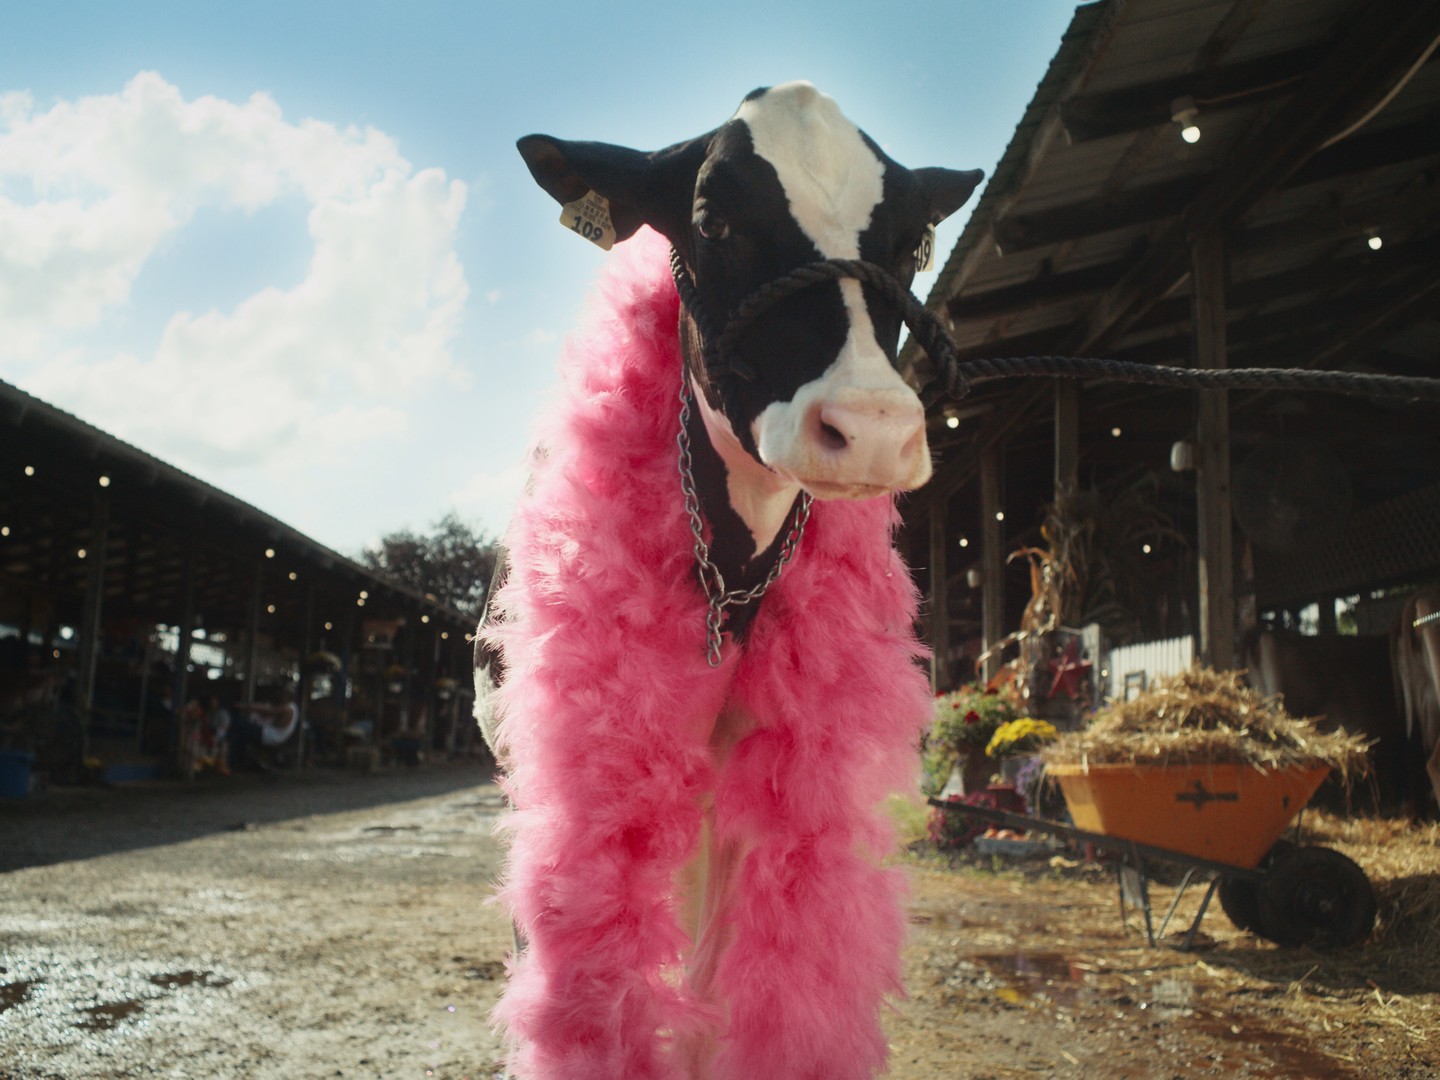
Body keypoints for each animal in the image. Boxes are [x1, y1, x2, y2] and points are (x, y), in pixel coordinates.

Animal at [479, 83, 981, 1080]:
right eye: (714, 220)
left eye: (914, 242)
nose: (870, 428)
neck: (734, 574)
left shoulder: (763, 773)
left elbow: (726, 989)